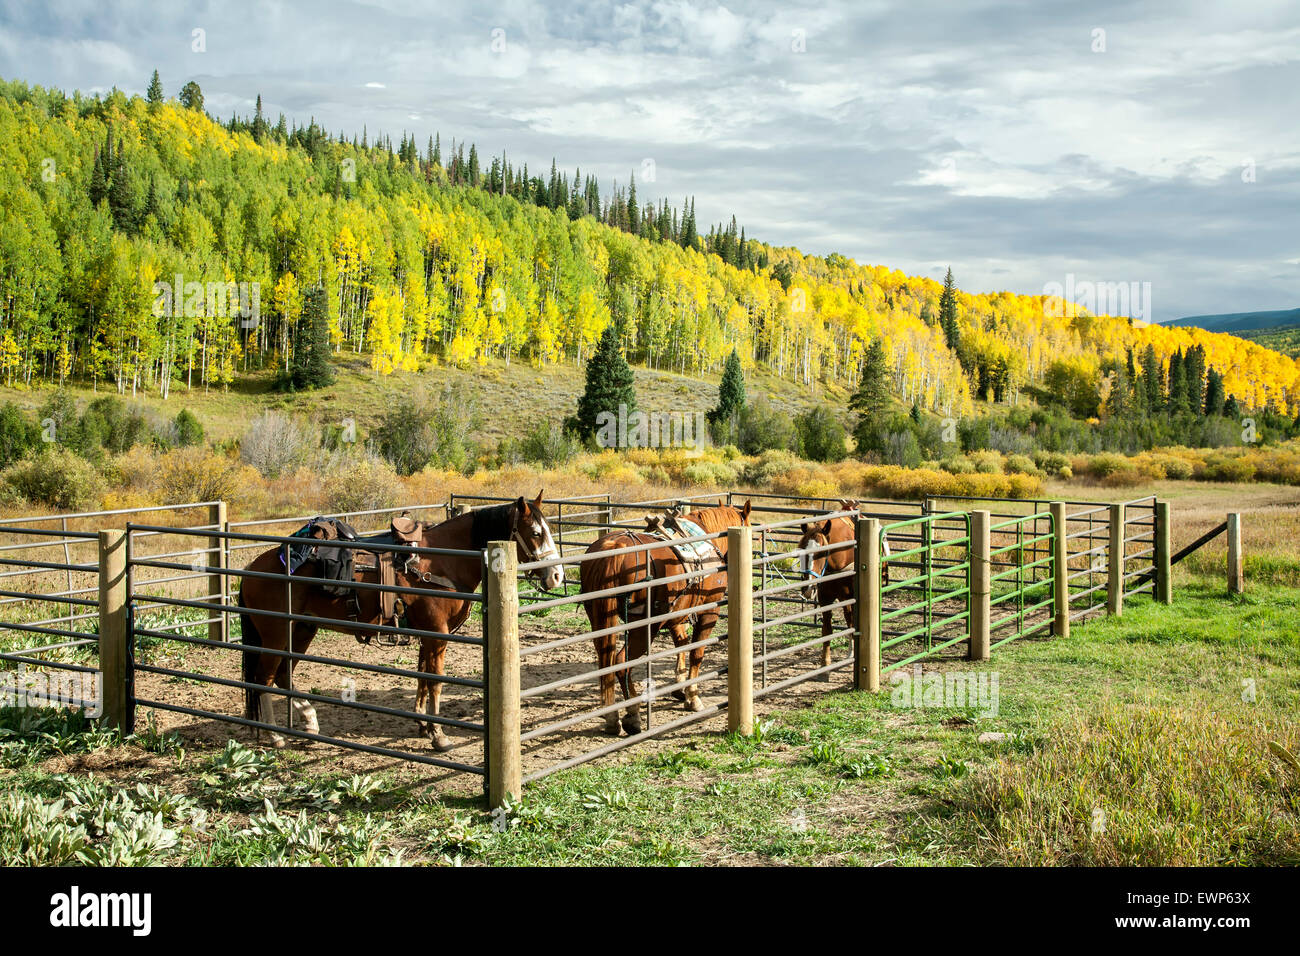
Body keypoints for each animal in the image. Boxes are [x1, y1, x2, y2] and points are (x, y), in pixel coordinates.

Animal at [236, 491, 562, 751]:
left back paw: (309, 722)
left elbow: (423, 678)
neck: (443, 561)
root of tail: (251, 567)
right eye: (535, 532)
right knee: (263, 679)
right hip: (277, 634)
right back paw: (275, 737)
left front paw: (423, 725)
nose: (557, 575)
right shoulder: (437, 634)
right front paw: (439, 736)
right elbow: (435, 682)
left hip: (302, 630)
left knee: (282, 676)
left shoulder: (427, 634)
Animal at [578, 500, 752, 737]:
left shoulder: (677, 615)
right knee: (621, 662)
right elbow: (697, 652)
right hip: (645, 627)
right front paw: (692, 697)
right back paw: (633, 715)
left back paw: (612, 718)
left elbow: (681, 644)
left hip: (600, 619)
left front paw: (679, 688)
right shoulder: (709, 612)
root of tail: (613, 550)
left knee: (607, 662)